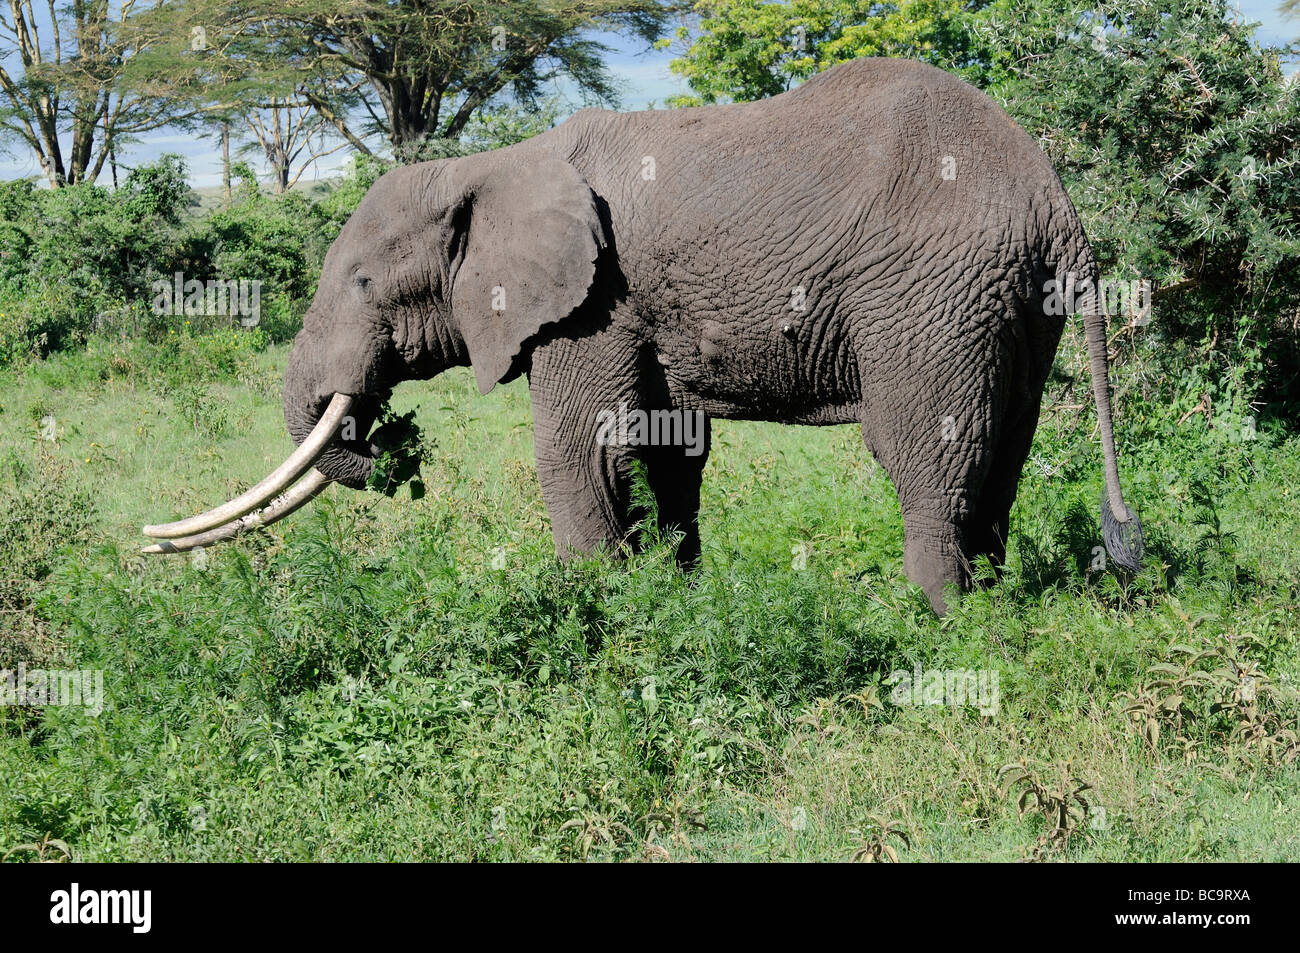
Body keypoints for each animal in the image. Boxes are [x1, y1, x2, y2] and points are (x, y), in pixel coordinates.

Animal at [143, 57, 1143, 615]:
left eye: (362, 283)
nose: (394, 441)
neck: (489, 165)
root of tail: (1056, 199)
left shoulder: (592, 301)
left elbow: (579, 452)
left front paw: (597, 610)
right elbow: (671, 452)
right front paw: (675, 596)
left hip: (931, 294)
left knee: (923, 451)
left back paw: (936, 620)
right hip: (1013, 304)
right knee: (1003, 451)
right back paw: (997, 605)